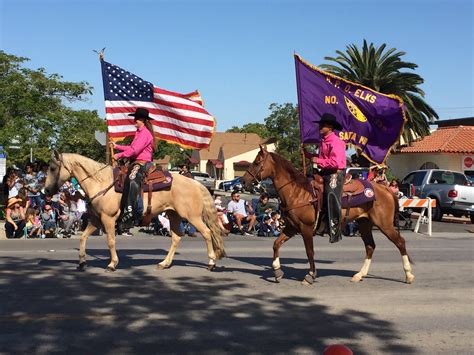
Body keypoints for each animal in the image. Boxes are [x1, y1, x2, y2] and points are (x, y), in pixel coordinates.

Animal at [43, 152, 225, 272]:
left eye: (52, 168)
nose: (46, 191)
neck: (100, 182)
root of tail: (197, 184)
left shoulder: (108, 219)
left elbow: (110, 241)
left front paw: (112, 264)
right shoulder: (96, 219)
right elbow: (83, 238)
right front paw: (82, 262)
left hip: (192, 217)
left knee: (207, 233)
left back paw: (211, 263)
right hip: (174, 215)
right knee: (176, 237)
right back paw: (164, 263)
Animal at [243, 147, 412, 286]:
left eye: (257, 162)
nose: (243, 181)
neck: (297, 192)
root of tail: (386, 189)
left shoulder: (306, 228)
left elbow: (309, 252)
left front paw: (310, 275)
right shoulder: (292, 227)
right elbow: (276, 244)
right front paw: (277, 271)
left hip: (385, 225)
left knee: (400, 242)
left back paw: (409, 275)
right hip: (365, 224)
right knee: (370, 246)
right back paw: (359, 275)